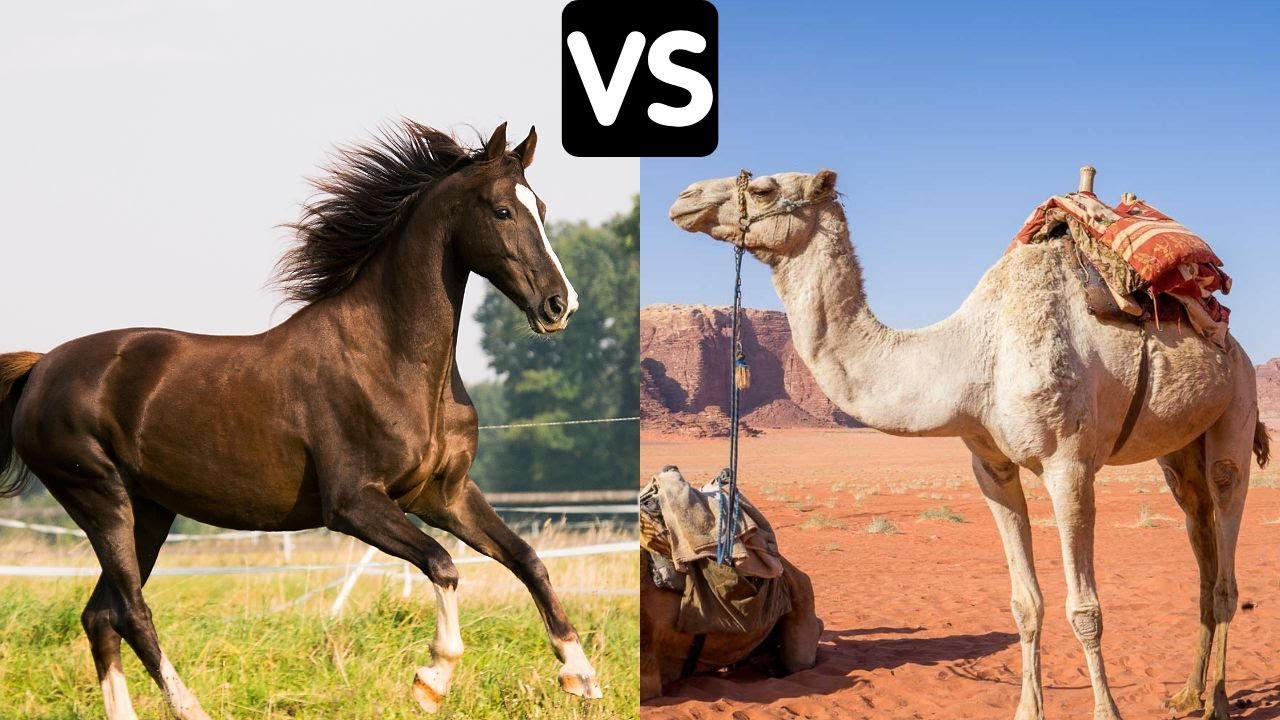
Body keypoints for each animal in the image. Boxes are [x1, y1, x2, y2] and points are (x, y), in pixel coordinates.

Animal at [0, 120, 603, 718]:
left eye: (540, 207)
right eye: (502, 210)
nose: (560, 306)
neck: (390, 359)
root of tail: (42, 368)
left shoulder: (444, 494)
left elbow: (527, 558)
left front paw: (581, 675)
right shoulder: (353, 504)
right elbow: (442, 564)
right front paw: (432, 678)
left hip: (148, 512)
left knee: (100, 616)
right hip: (103, 501)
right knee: (131, 613)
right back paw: (191, 706)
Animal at [668, 168, 1270, 720]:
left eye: (764, 187)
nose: (684, 198)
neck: (973, 356)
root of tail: (1231, 340)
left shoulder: (1068, 463)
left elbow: (1085, 609)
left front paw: (1107, 713)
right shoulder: (991, 467)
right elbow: (1025, 604)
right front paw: (1028, 711)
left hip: (1235, 410)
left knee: (1224, 557)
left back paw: (1217, 703)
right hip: (1178, 450)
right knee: (1199, 540)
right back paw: (1187, 695)